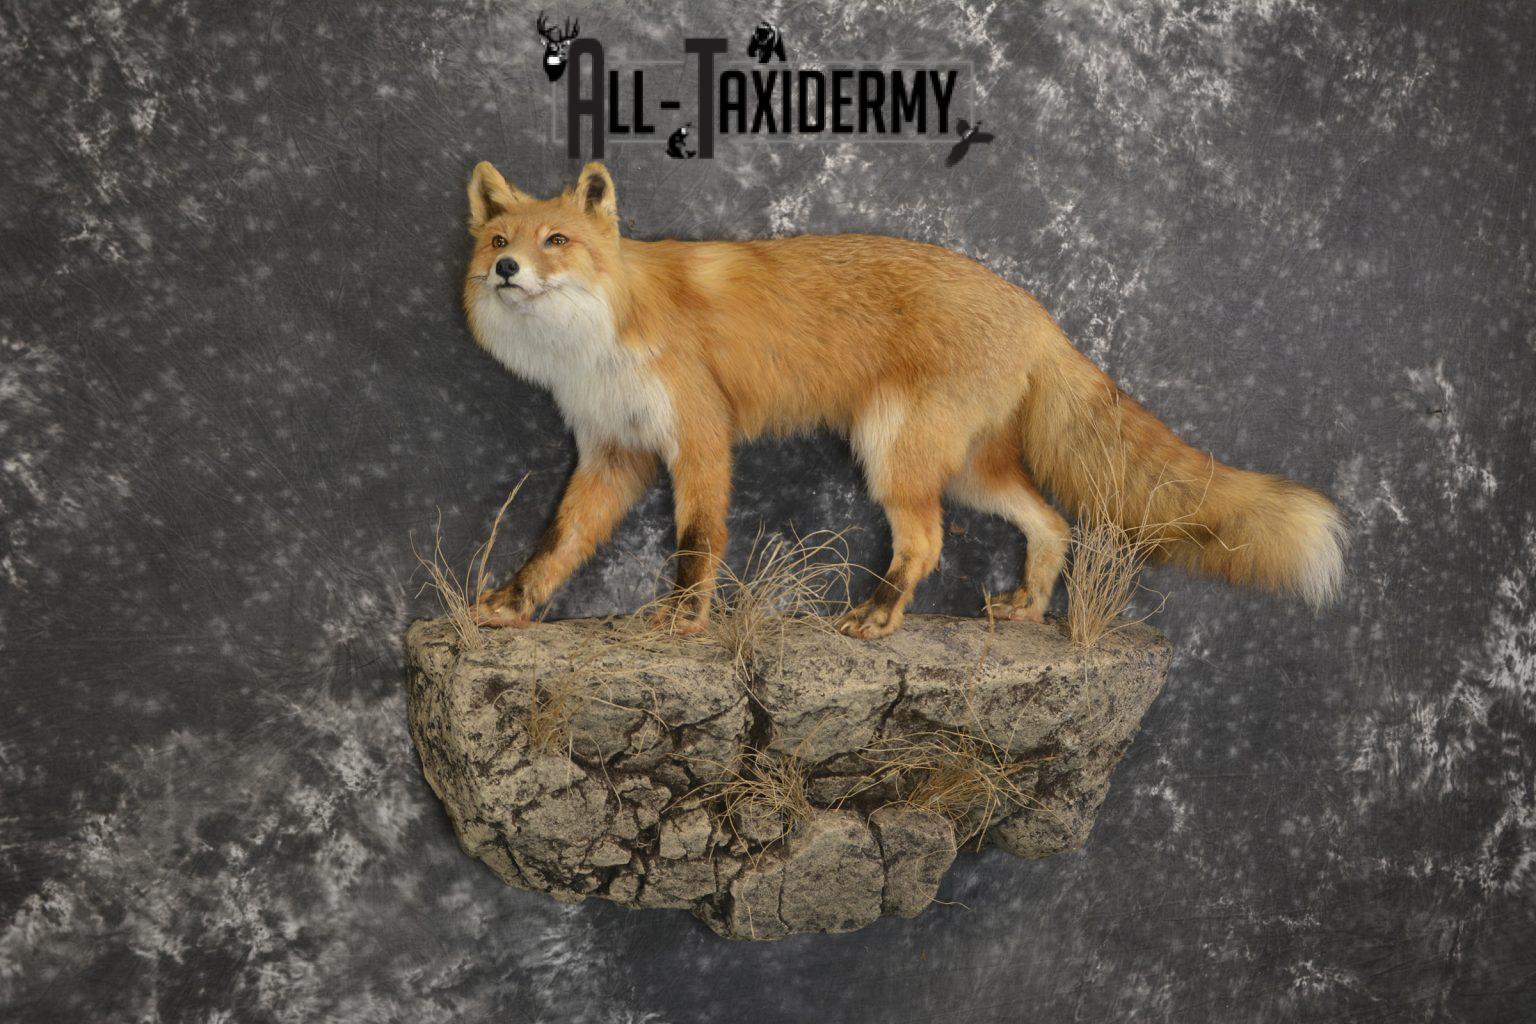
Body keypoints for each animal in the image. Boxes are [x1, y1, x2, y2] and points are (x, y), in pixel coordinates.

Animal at [462, 160, 1346, 639]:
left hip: (894, 455)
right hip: (970, 470)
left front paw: (684, 621)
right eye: (499, 241)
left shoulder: (700, 438)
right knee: (1050, 524)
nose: (505, 271)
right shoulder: (612, 451)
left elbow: (696, 544)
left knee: (926, 541)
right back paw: (1027, 607)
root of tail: (1034, 311)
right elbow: (558, 542)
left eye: (557, 242)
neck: (596, 342)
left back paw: (880, 619)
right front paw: (512, 605)